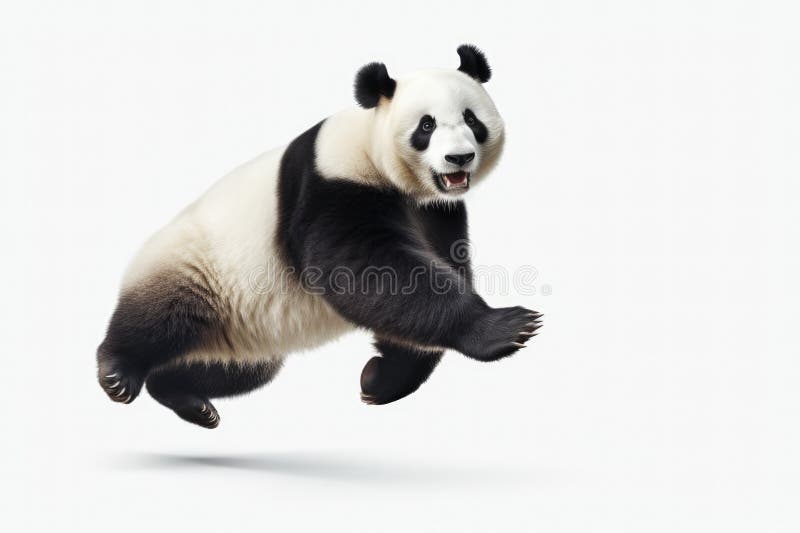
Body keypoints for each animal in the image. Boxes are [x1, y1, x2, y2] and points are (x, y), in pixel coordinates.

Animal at [97, 44, 542, 428]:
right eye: (427, 125)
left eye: (472, 120)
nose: (458, 158)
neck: (372, 149)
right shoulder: (331, 184)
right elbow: (365, 269)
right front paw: (504, 326)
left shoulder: (436, 211)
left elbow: (437, 268)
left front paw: (380, 379)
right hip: (193, 267)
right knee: (159, 318)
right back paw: (118, 372)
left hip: (241, 335)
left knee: (228, 370)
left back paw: (188, 399)